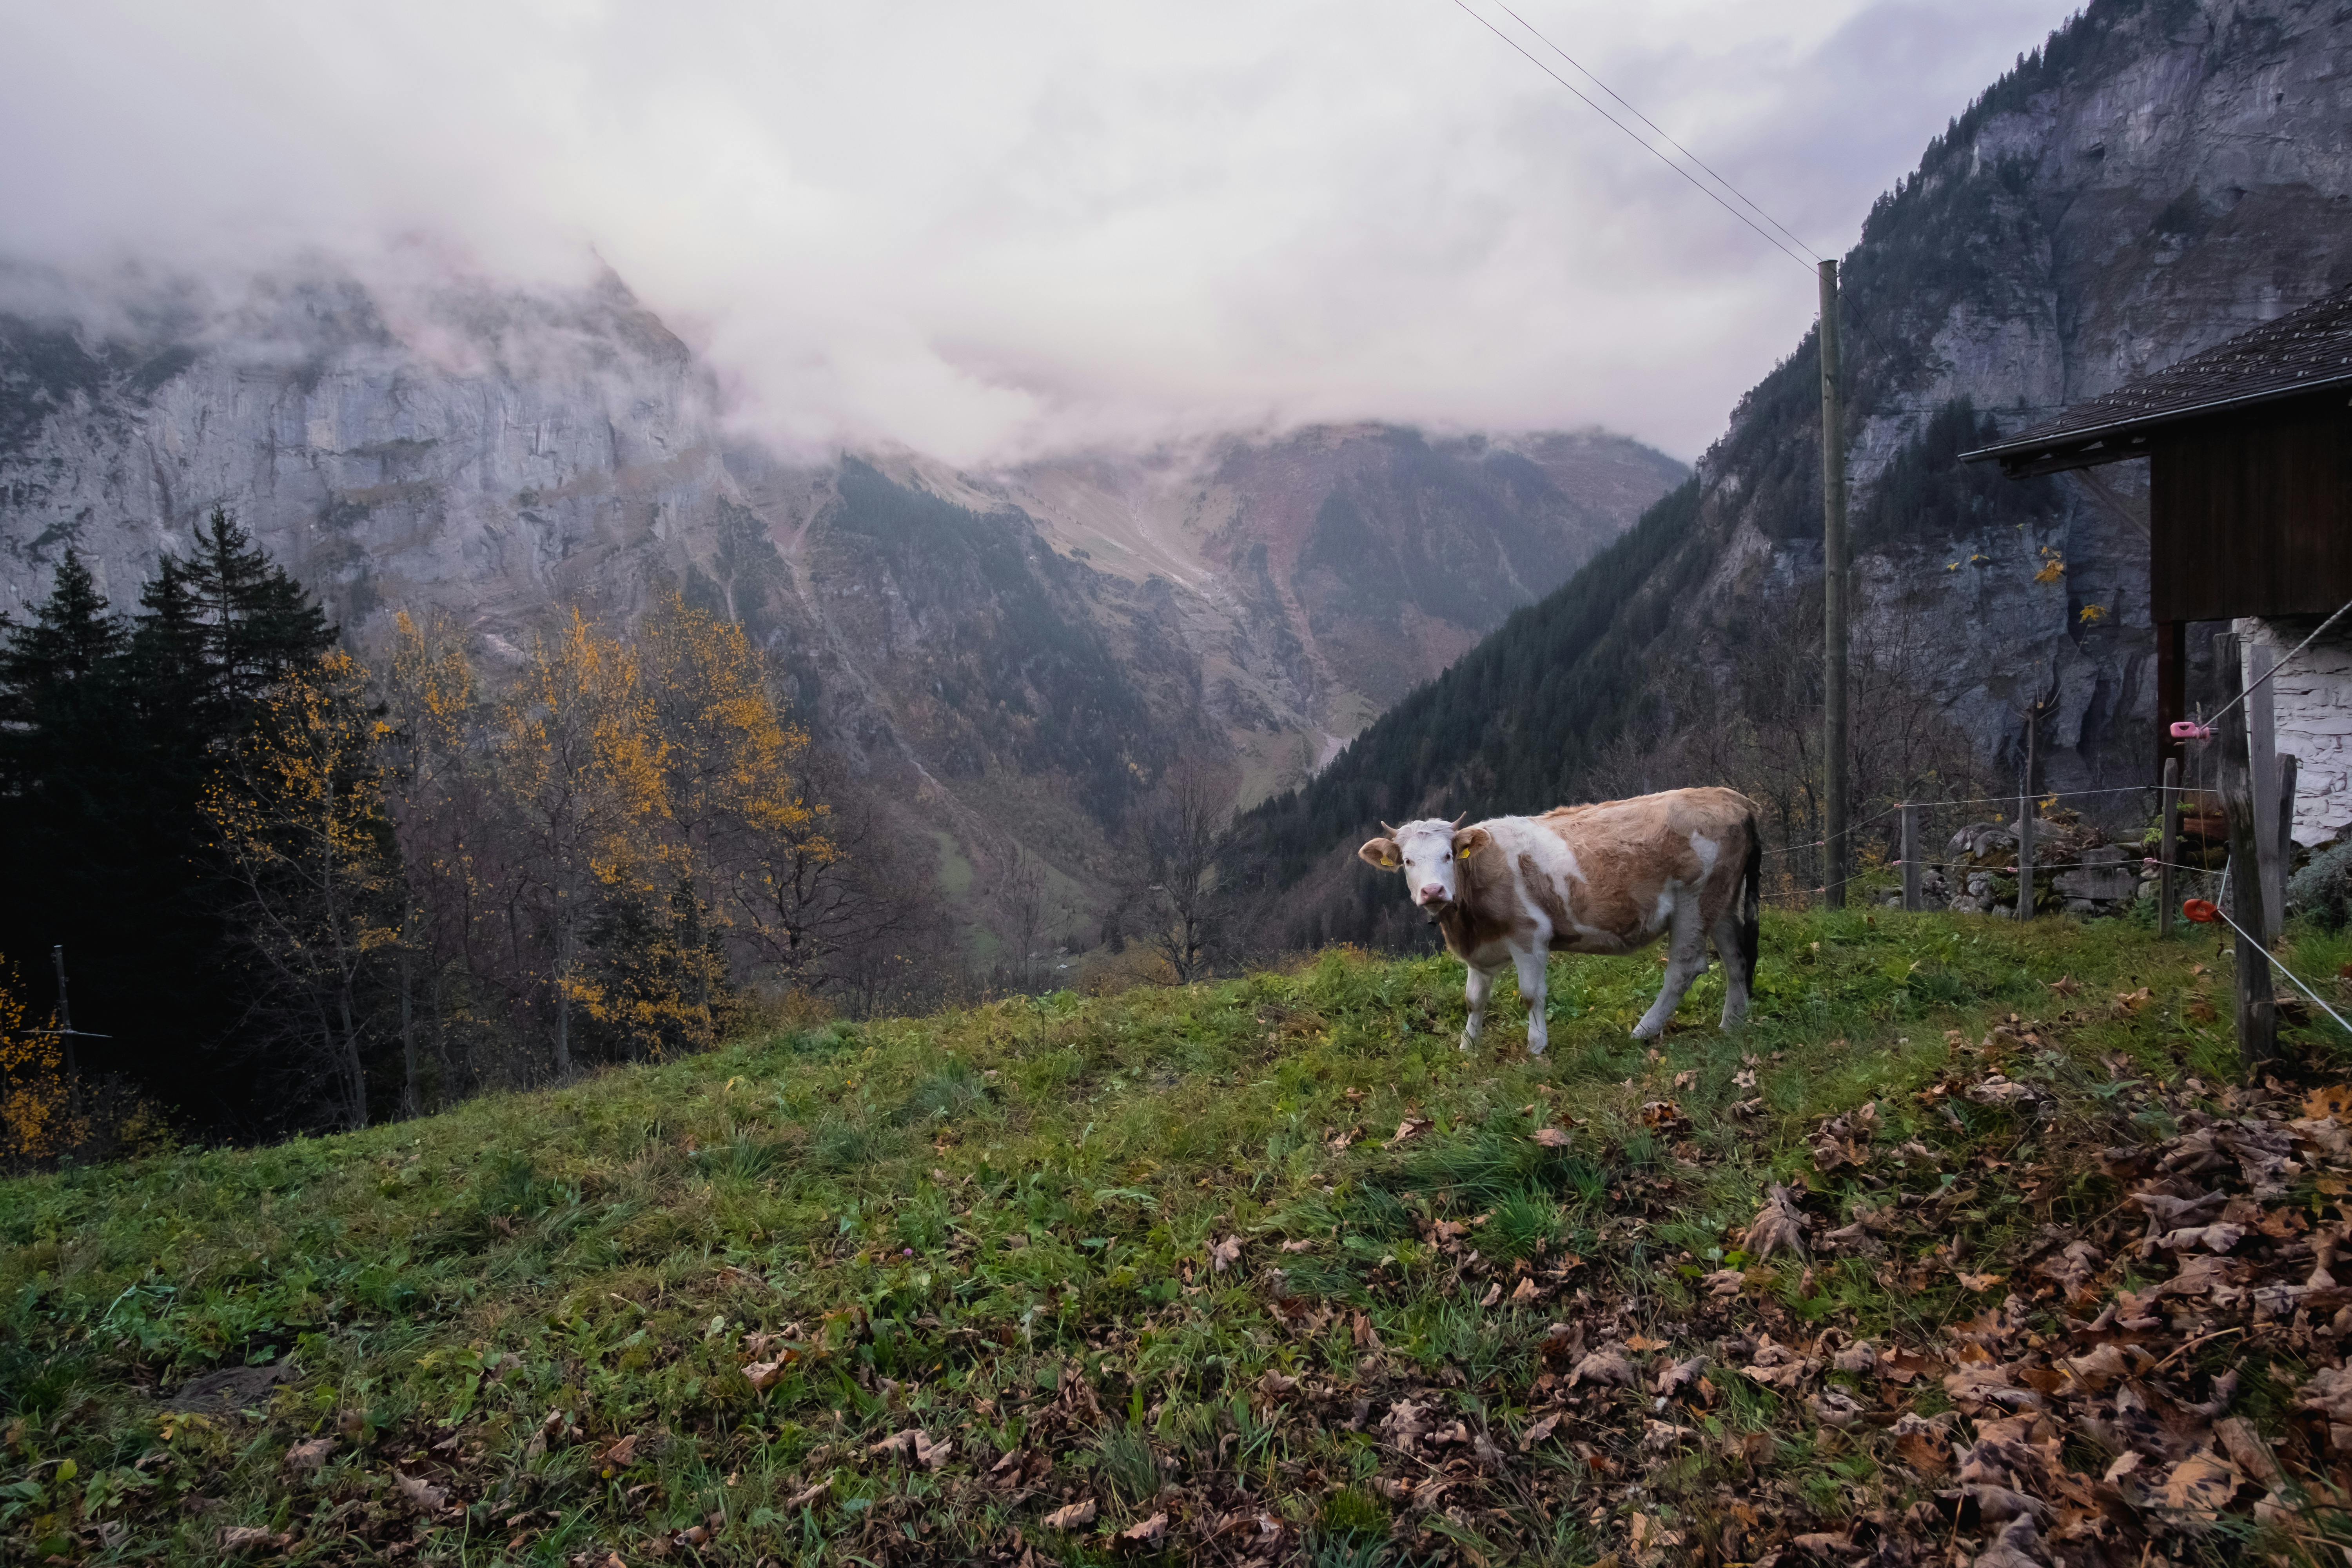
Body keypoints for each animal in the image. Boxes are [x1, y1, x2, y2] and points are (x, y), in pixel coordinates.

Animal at [1357, 787, 1762, 1054]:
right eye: (1407, 861)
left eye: (1448, 855)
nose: (1434, 891)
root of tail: (1732, 797)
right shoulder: (1481, 949)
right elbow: (1474, 999)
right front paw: (1468, 1046)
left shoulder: (1530, 936)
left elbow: (1530, 994)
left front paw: (1537, 1047)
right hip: (1723, 901)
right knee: (1737, 959)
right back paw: (1732, 1025)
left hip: (1695, 901)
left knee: (1685, 968)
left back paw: (1643, 1031)